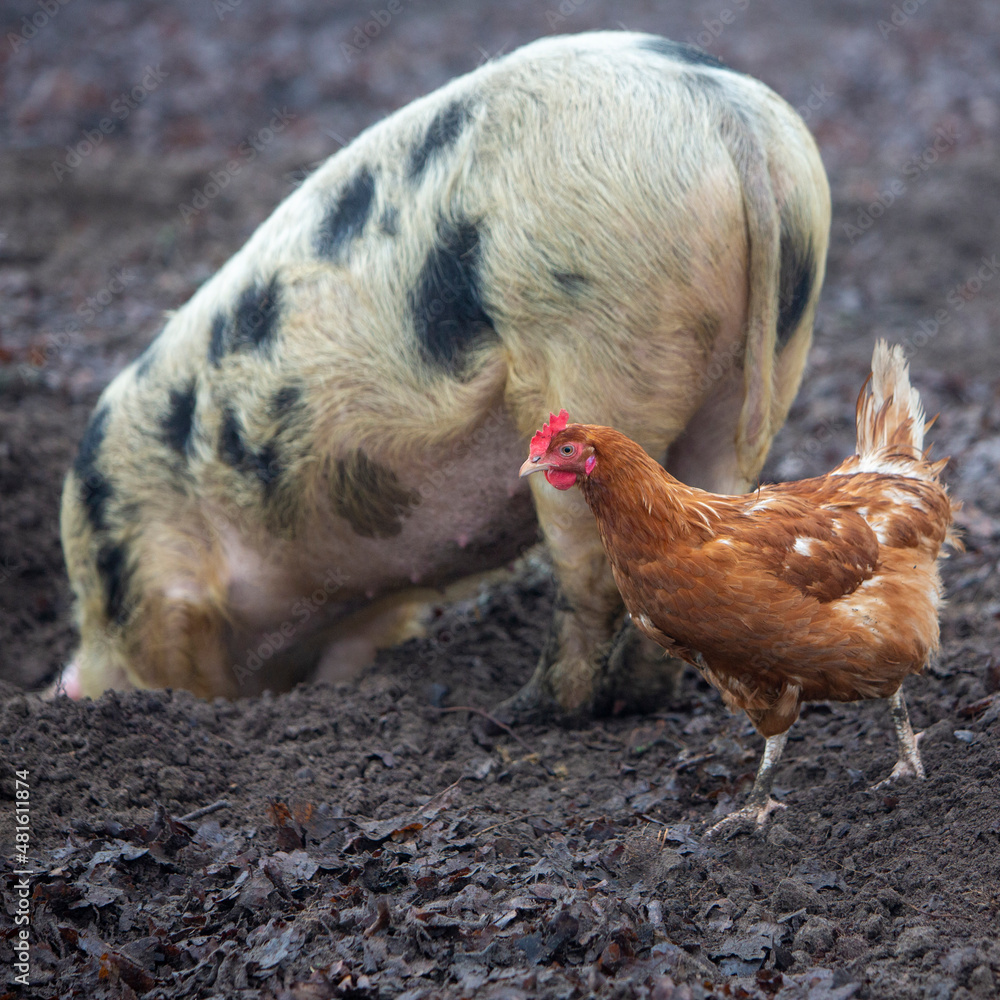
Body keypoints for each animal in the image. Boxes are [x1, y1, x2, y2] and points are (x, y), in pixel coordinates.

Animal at [58, 31, 831, 717]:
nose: (71, 687)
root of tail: (723, 110)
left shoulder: (155, 576)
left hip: (594, 356)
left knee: (589, 576)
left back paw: (522, 710)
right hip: (768, 348)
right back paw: (630, 699)